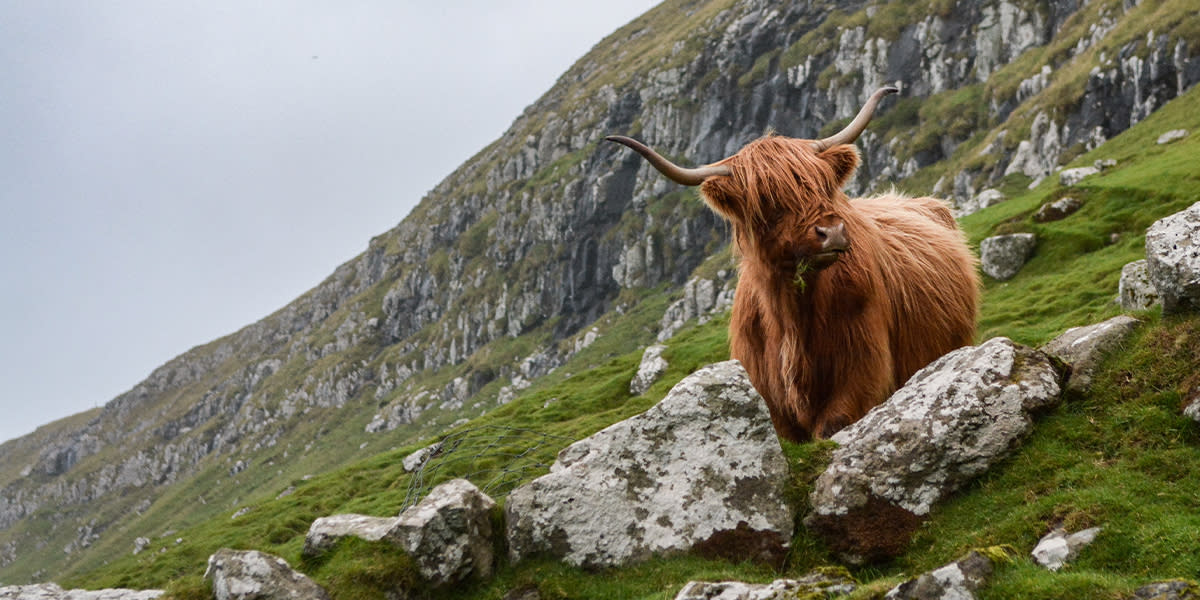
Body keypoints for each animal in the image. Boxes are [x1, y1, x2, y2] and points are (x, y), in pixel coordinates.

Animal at [609, 85, 974, 441]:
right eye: (767, 200)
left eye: (824, 185)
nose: (833, 232)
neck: (791, 319)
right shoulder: (768, 399)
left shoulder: (862, 374)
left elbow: (831, 426)